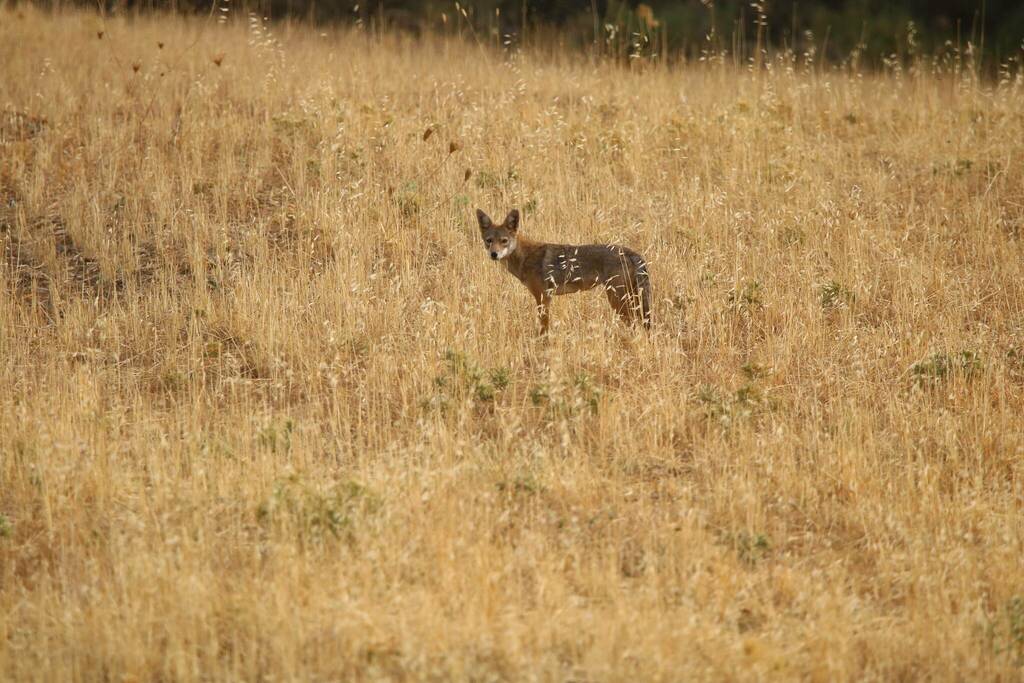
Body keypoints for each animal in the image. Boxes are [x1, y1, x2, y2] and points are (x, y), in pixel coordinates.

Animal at [476, 208, 651, 335]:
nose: (494, 254)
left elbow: (543, 329)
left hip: (618, 301)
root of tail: (629, 251)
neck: (525, 257)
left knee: (634, 324)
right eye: (489, 241)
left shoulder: (543, 297)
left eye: (504, 241)